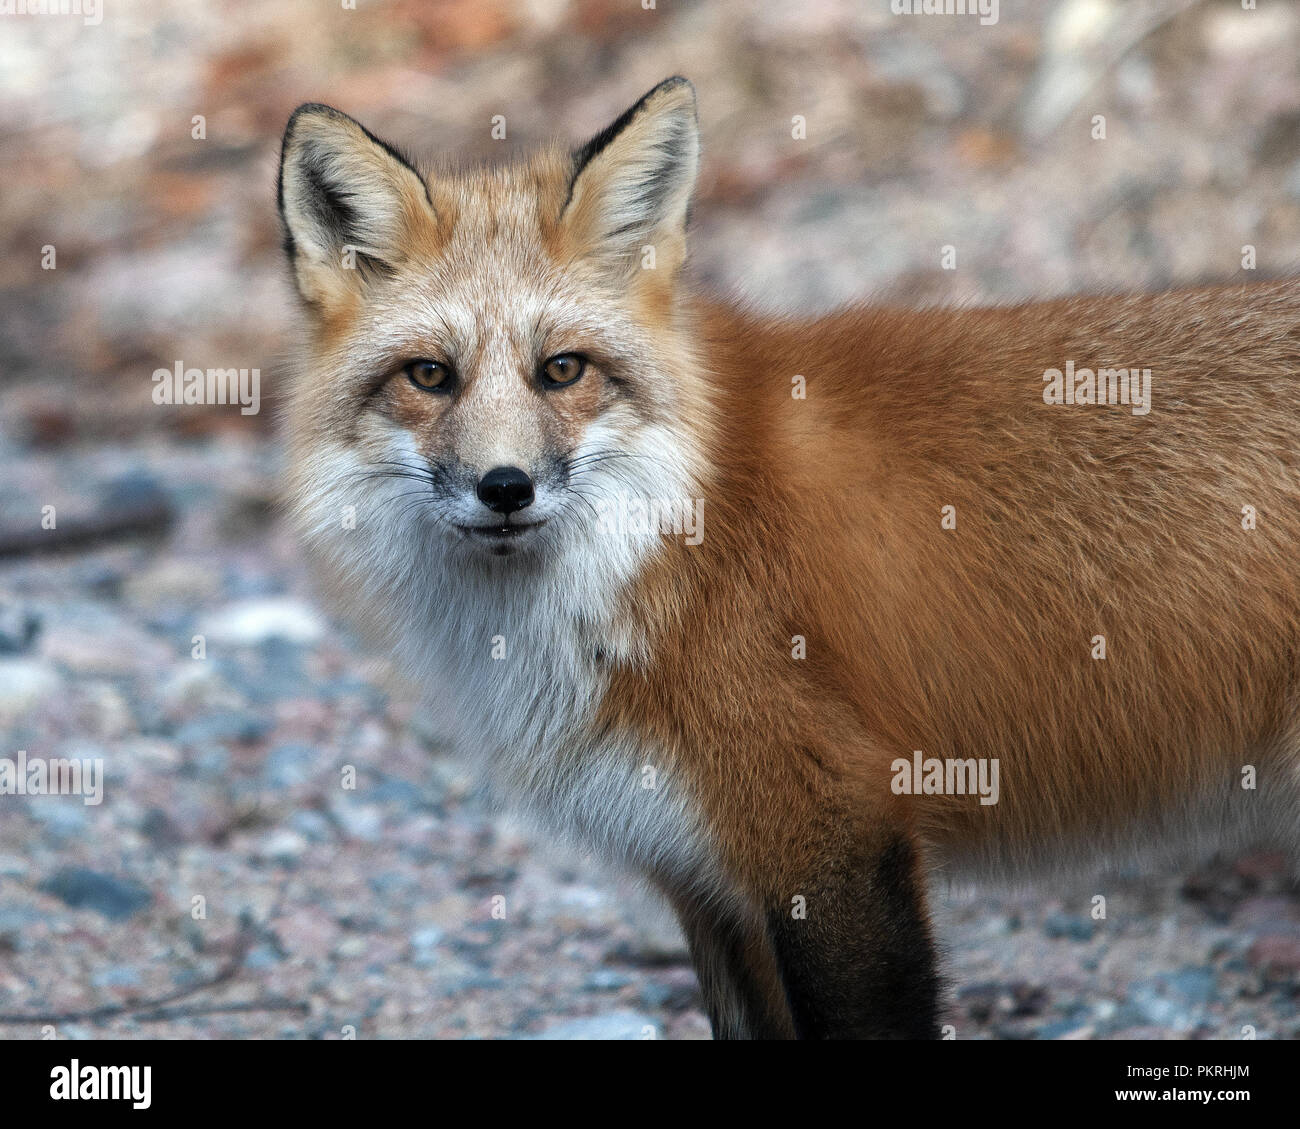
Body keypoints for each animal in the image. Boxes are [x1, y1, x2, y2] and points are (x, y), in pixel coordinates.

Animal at [277, 76, 1300, 1039]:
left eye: (562, 369)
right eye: (429, 375)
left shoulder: (833, 829)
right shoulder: (706, 880)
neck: (670, 544)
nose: (505, 487)